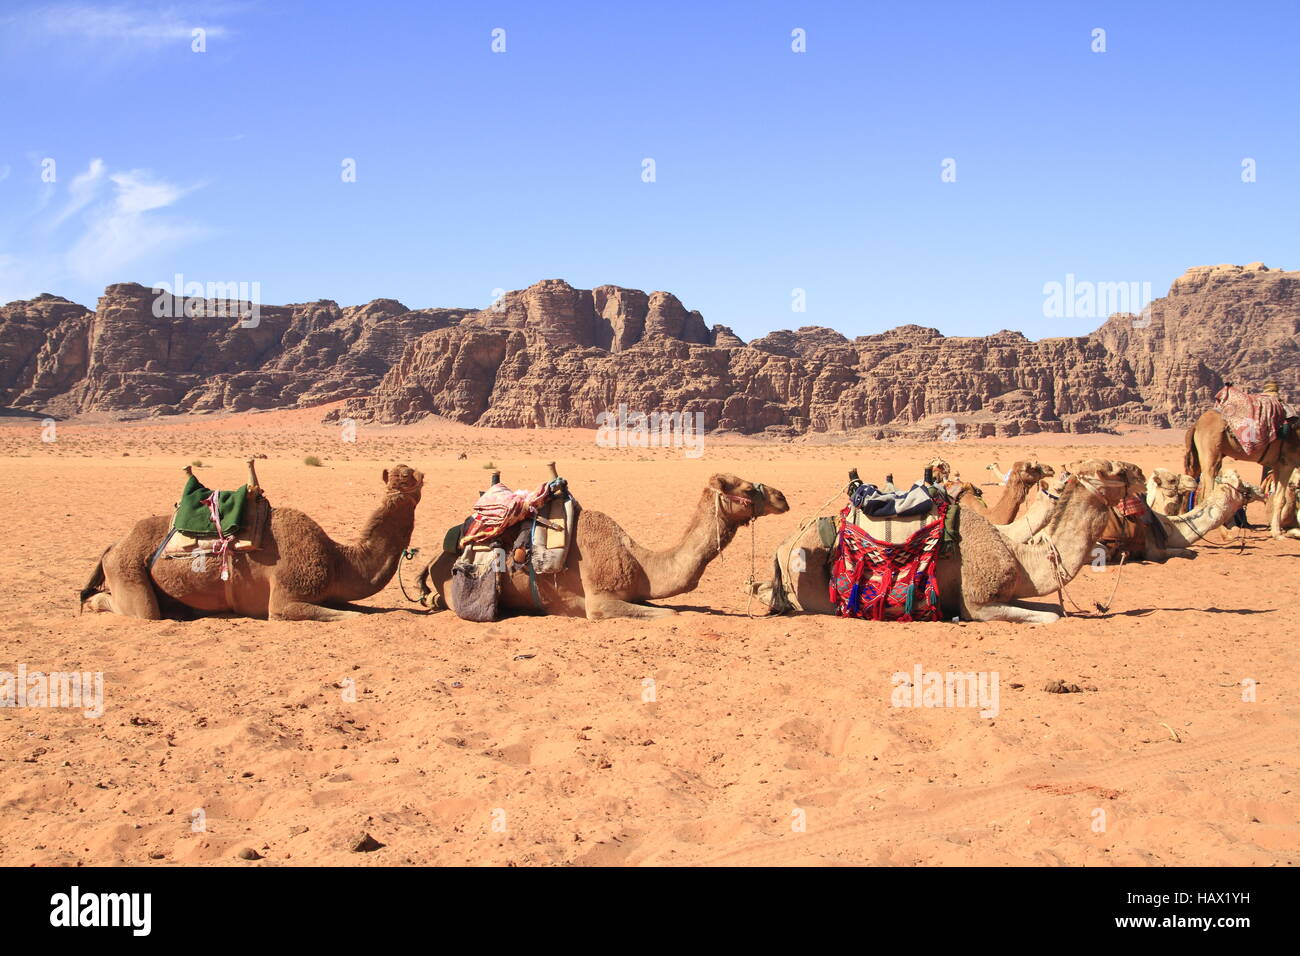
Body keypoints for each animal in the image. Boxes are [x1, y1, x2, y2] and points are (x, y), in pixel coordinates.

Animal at [81, 464, 424, 621]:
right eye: (403, 476)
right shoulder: (284, 601)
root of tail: (113, 546)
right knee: (139, 610)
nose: (414, 474)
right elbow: (352, 617)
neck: (339, 559)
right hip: (128, 571)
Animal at [750, 459, 1146, 624]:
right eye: (1116, 469)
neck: (1018, 555)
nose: (1142, 475)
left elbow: (1054, 609)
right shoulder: (980, 604)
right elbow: (1052, 619)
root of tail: (784, 545)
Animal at [1185, 407, 1300, 538]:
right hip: (1211, 454)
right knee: (1209, 493)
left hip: (1198, 457)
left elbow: (1275, 496)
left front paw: (1275, 530)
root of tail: (1196, 425)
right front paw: (1278, 533)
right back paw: (1224, 532)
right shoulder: (1287, 462)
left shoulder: (1277, 464)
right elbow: (1281, 499)